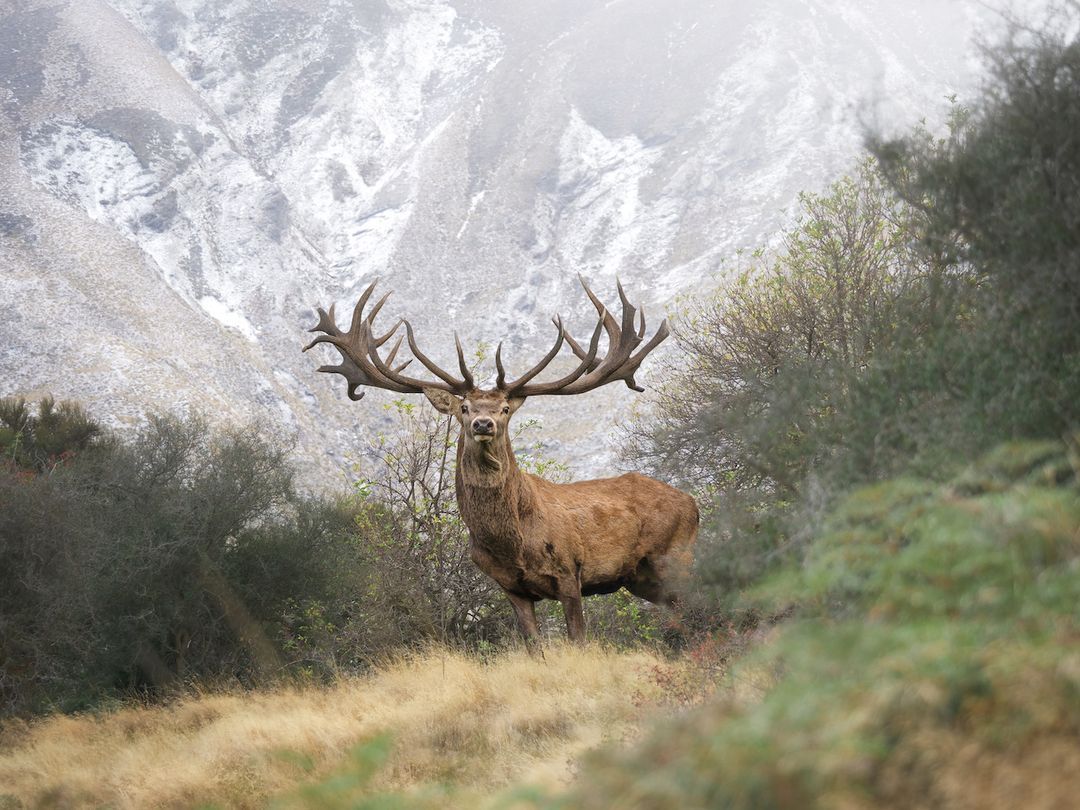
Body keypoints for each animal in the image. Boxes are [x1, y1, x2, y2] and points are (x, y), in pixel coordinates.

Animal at [304, 277, 698, 646]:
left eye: (505, 408)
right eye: (464, 407)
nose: (483, 423)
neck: (513, 544)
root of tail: (694, 504)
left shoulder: (569, 572)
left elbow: (579, 640)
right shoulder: (510, 587)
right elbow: (534, 646)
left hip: (675, 558)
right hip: (642, 578)